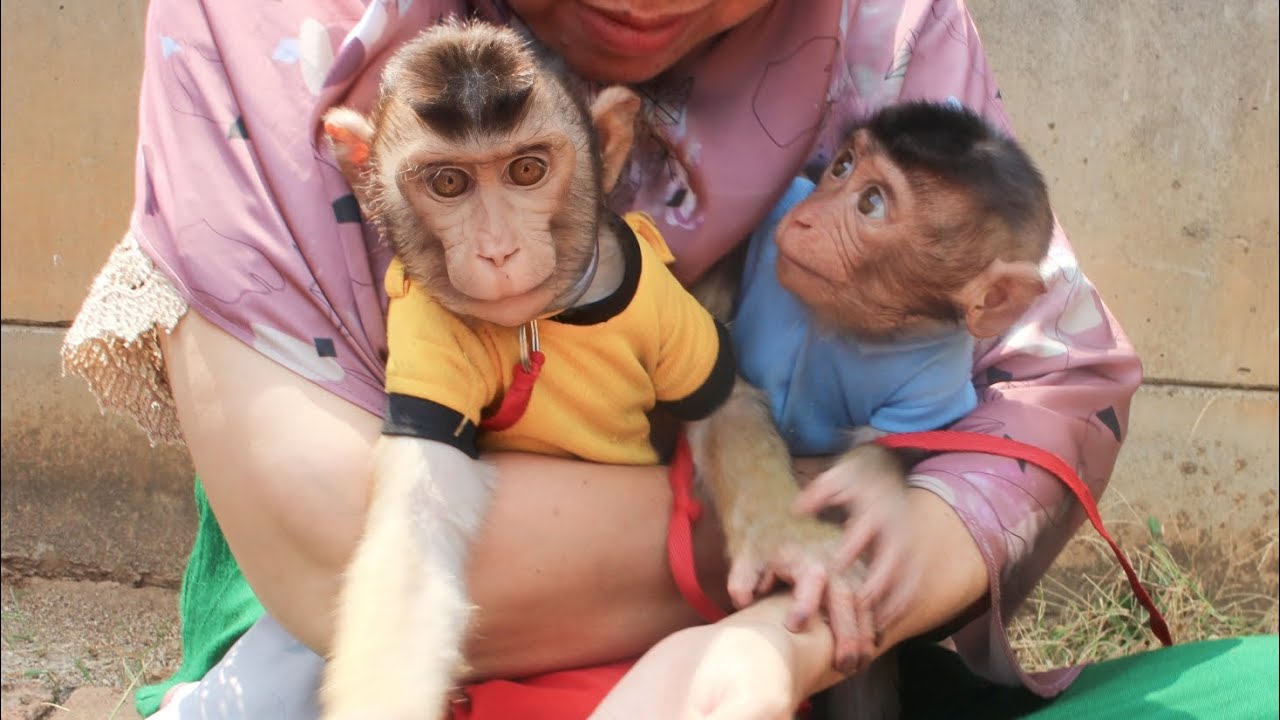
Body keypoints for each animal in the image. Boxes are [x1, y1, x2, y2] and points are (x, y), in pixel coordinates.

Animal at [317, 19, 856, 720]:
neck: (544, 321)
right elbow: (416, 524)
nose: (497, 251)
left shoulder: (667, 311)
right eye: (448, 184)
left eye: (527, 169)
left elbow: (723, 403)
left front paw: (788, 540)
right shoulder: (426, 341)